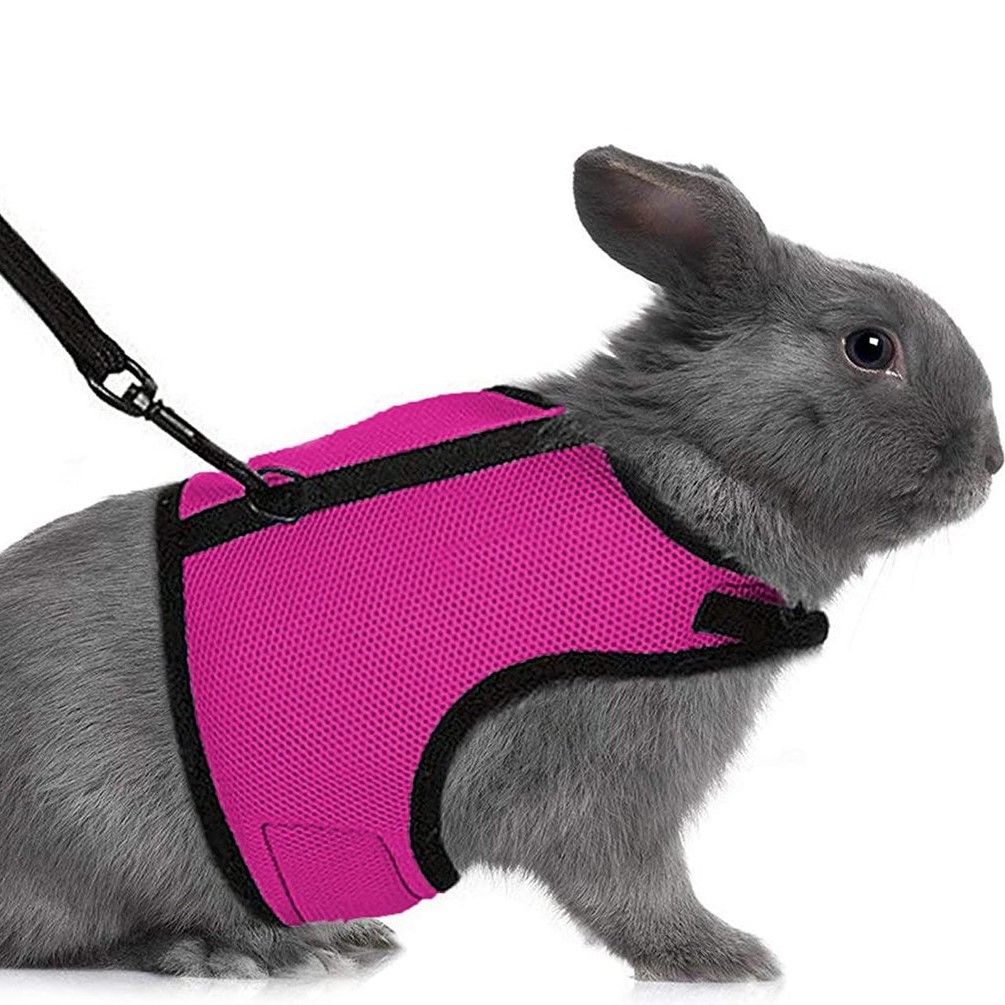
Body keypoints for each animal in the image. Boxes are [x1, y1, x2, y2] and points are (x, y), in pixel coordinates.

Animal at [0, 145, 999, 982]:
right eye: (868, 346)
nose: (988, 460)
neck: (683, 464)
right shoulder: (609, 779)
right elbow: (631, 884)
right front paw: (722, 959)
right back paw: (237, 948)